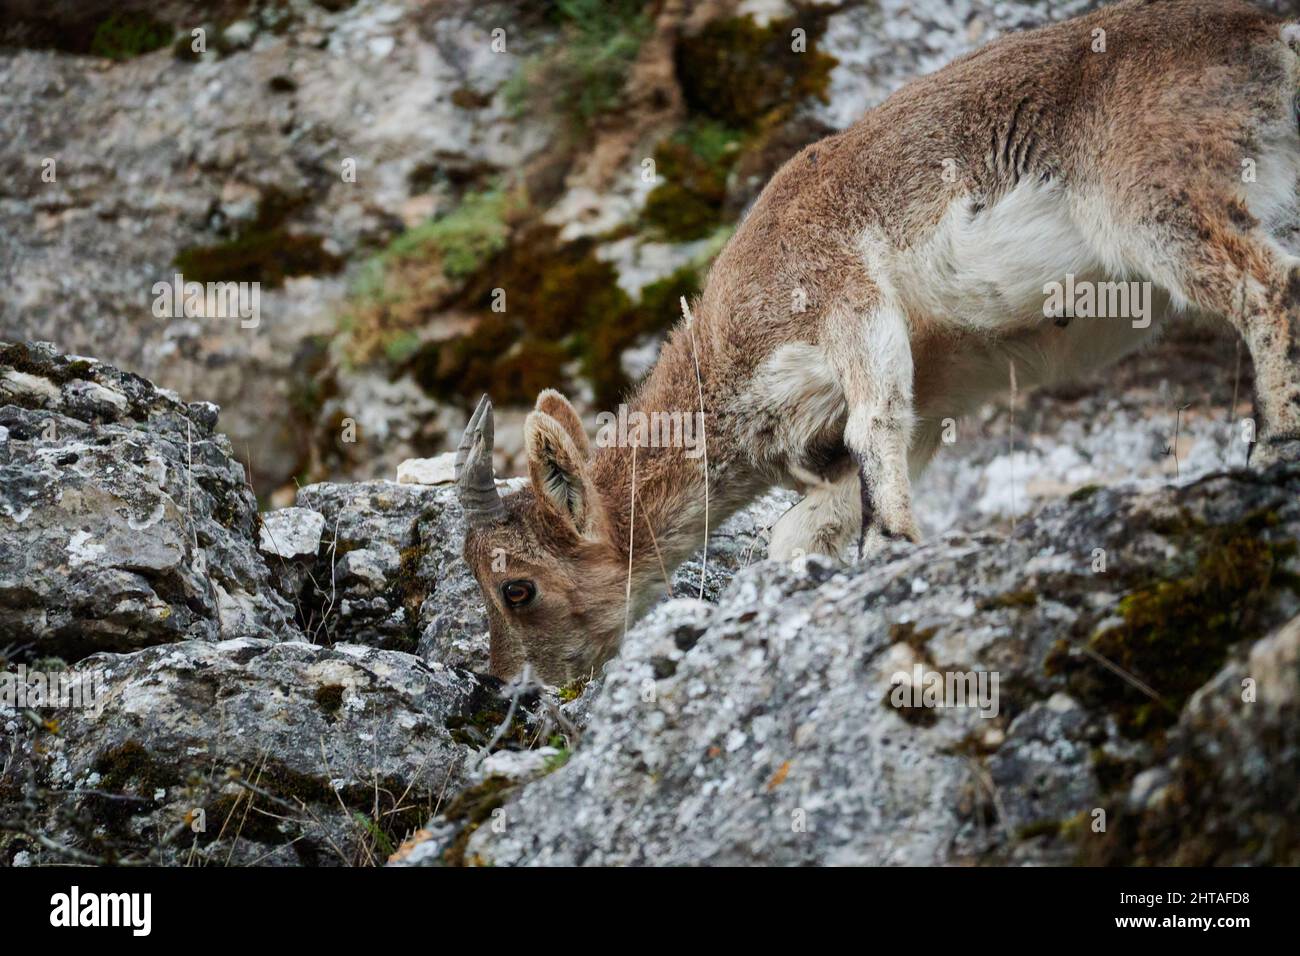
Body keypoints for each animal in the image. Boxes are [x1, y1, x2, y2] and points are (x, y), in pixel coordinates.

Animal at [456, 0, 1300, 684]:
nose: (503, 685)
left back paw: (1273, 446)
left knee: (1267, 284)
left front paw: (889, 546)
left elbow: (873, 427)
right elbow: (802, 525)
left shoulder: (846, 303)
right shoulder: (928, 396)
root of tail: (1269, 34)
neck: (730, 351)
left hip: (1154, 197)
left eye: (516, 587)